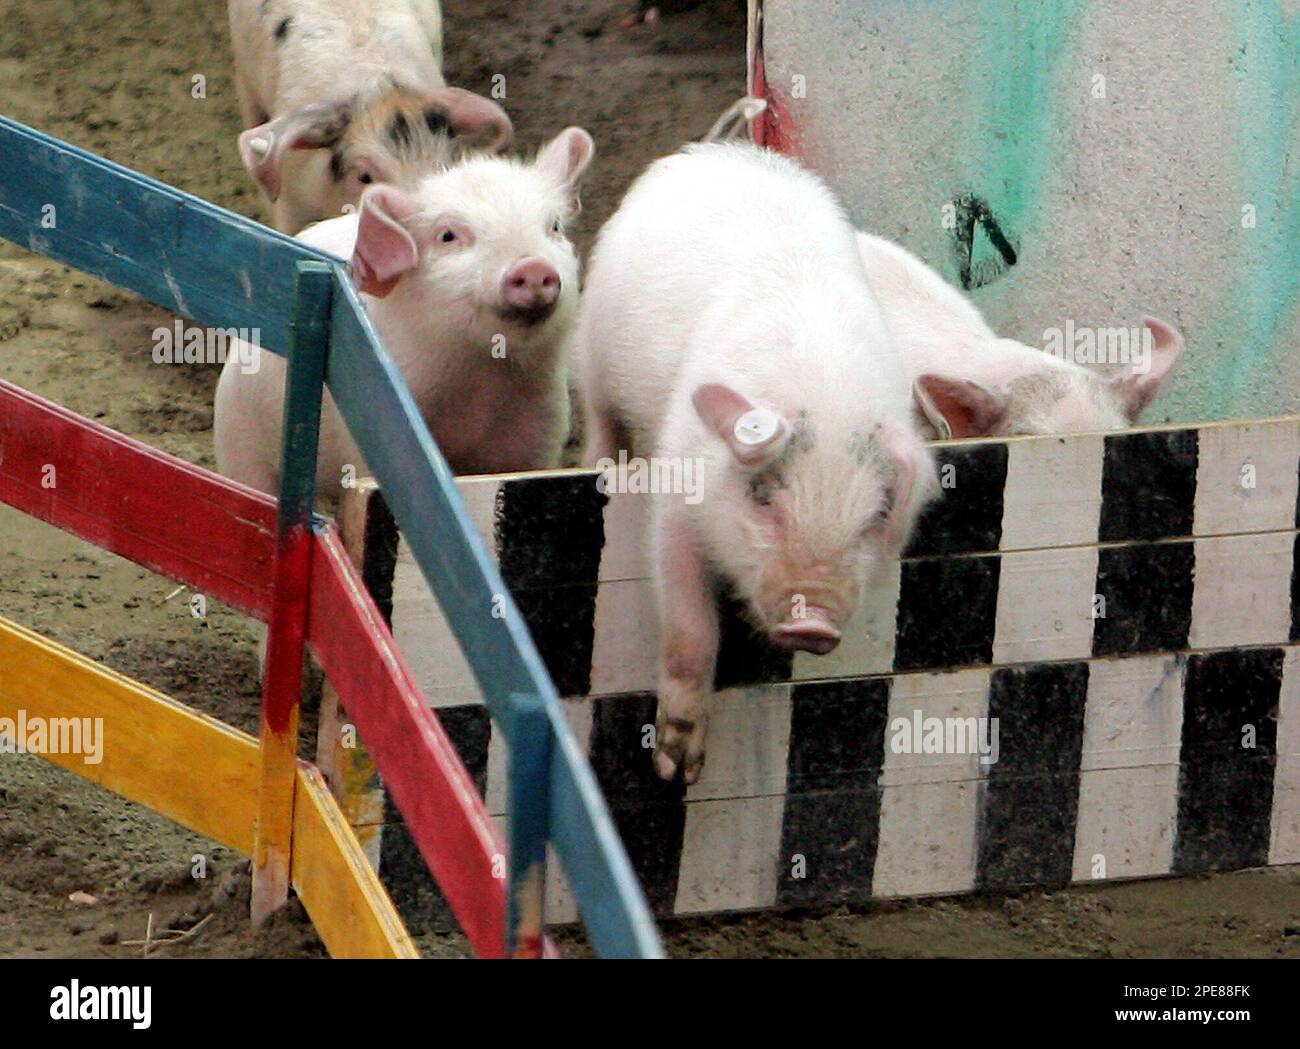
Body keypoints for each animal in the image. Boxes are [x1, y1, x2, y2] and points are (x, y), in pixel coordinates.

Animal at [214, 126, 595, 501]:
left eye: (554, 226)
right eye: (448, 236)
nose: (533, 267)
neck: (483, 384)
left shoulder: (540, 434)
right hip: (239, 439)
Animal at [572, 142, 937, 783]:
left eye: (876, 515)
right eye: (763, 496)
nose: (812, 622)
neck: (823, 387)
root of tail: (721, 152)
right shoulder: (677, 498)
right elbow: (689, 626)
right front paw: (675, 770)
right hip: (593, 351)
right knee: (600, 420)